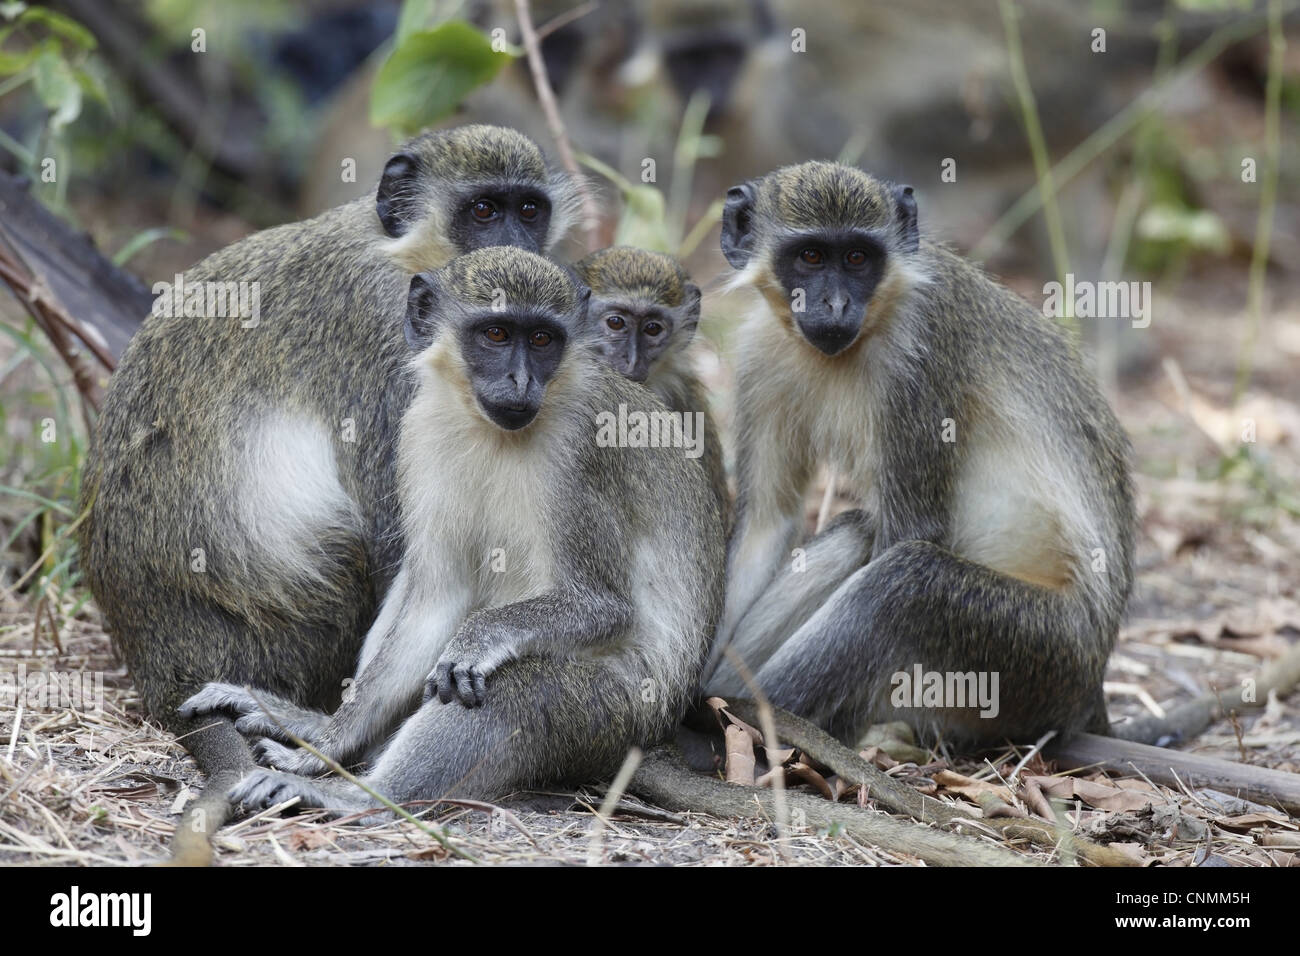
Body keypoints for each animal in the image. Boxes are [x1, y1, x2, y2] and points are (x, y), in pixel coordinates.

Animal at [78, 125, 579, 860]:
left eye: (530, 210)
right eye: (484, 211)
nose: (518, 246)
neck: (398, 247)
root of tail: (158, 666)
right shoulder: (393, 337)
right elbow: (403, 545)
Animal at [702, 161, 1135, 745]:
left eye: (857, 258)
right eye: (810, 256)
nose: (835, 304)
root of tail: (1090, 689)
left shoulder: (920, 352)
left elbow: (909, 533)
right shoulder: (760, 355)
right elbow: (766, 525)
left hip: (1039, 659)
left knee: (901, 584)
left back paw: (754, 716)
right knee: (858, 535)